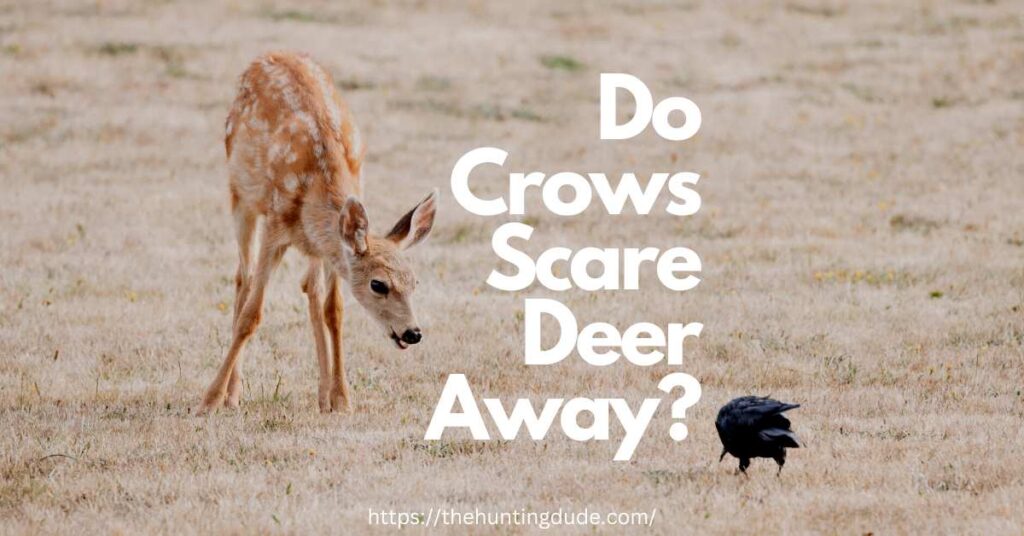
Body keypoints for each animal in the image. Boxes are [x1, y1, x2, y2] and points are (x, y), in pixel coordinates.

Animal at [198, 51, 437, 415]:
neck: (317, 182)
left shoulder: (334, 246)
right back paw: (232, 393)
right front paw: (209, 400)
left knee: (310, 290)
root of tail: (268, 55)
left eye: (416, 282)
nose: (413, 332)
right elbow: (252, 315)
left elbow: (333, 311)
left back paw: (323, 395)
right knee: (244, 278)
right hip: (240, 196)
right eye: (378, 284)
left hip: (312, 246)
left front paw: (341, 398)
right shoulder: (275, 225)